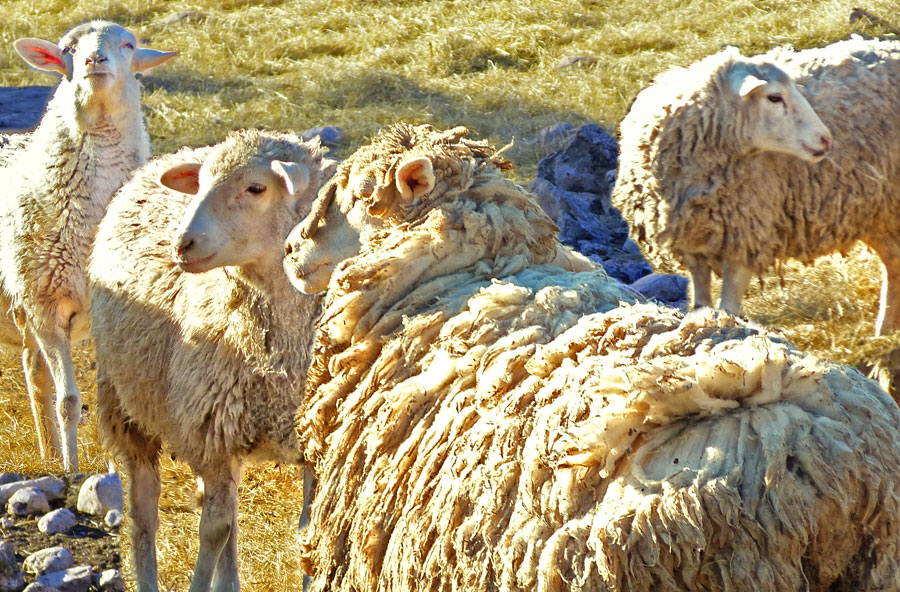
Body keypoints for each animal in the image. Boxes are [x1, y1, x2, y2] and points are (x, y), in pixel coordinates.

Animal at [0, 21, 176, 471]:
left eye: (128, 44)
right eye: (67, 49)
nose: (95, 60)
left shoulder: (108, 314)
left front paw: (115, 468)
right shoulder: (44, 307)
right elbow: (68, 401)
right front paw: (73, 471)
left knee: (33, 371)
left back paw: (46, 451)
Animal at [88, 128, 334, 592]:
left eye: (256, 188)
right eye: (200, 184)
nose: (181, 244)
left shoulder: (312, 441)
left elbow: (309, 533)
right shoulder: (214, 435)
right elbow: (214, 531)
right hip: (129, 407)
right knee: (146, 514)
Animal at [610, 38, 900, 384]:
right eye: (774, 97)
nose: (826, 140)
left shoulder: (744, 237)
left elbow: (729, 307)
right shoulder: (693, 245)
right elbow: (701, 301)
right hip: (880, 214)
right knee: (894, 265)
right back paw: (883, 339)